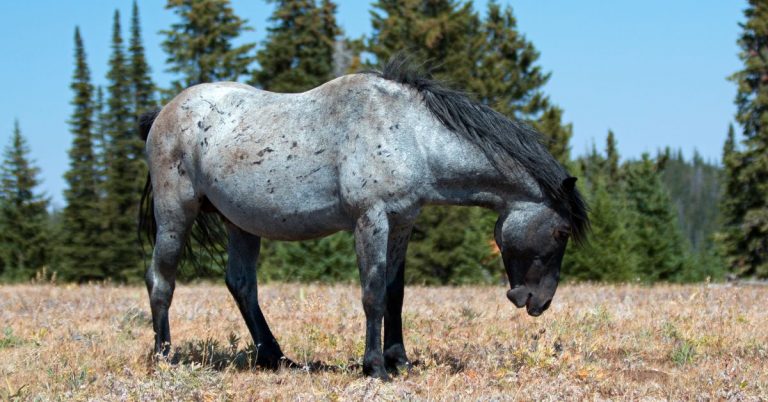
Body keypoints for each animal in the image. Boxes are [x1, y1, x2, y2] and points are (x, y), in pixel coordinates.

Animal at [137, 56, 589, 380]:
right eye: (561, 230)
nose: (540, 302)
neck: (413, 135)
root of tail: (162, 113)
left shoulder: (403, 223)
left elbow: (394, 294)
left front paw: (400, 361)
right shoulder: (371, 219)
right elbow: (372, 292)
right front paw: (374, 367)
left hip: (242, 224)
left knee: (242, 285)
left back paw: (274, 357)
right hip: (176, 213)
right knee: (161, 279)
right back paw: (164, 358)